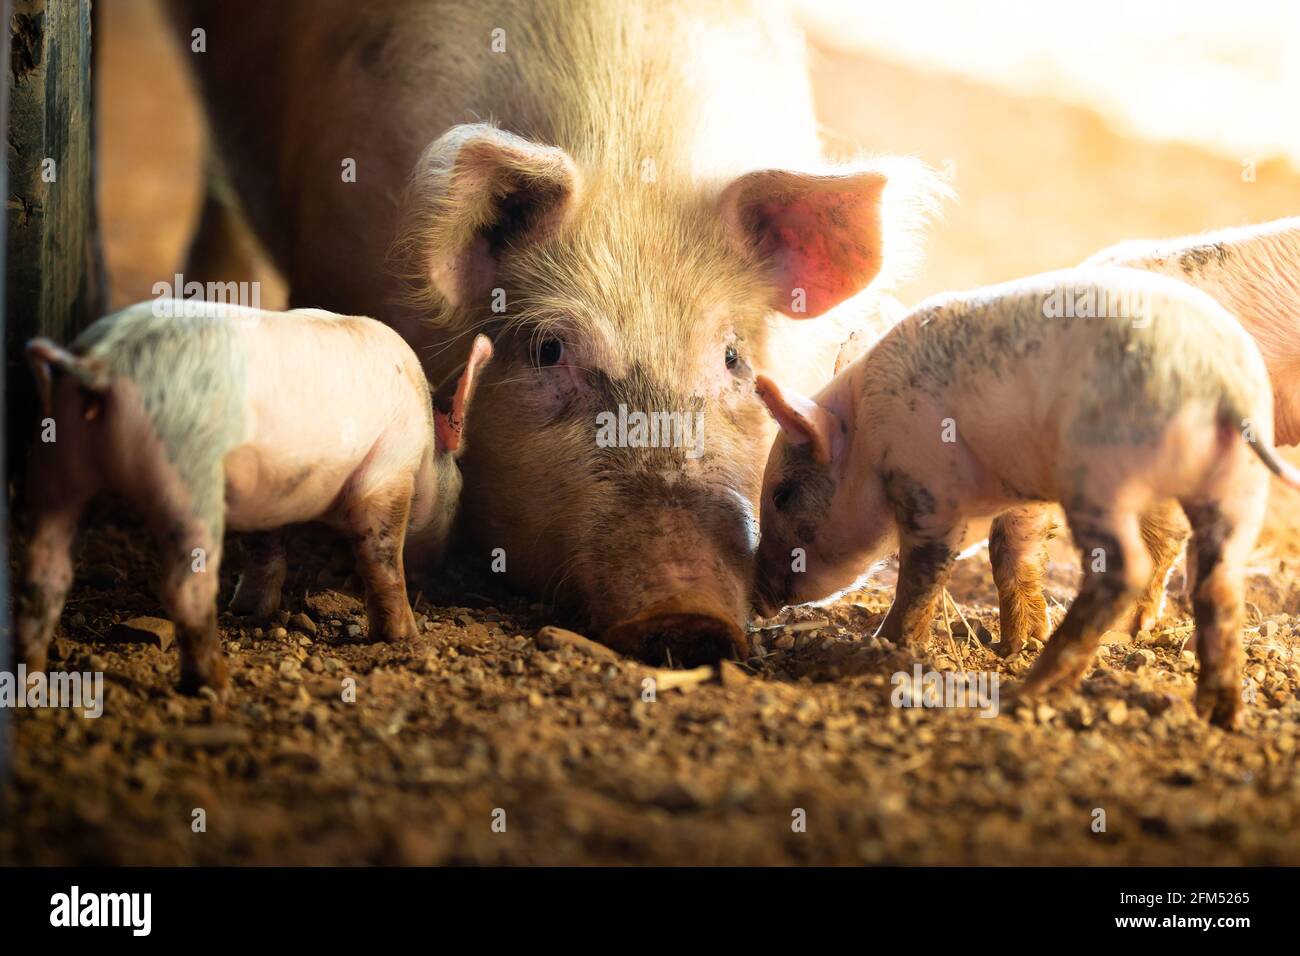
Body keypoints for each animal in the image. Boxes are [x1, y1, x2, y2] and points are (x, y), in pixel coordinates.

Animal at [14, 298, 492, 699]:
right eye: (460, 480)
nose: (450, 554)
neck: (423, 443)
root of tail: (98, 362)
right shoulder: (388, 468)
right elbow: (382, 556)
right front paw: (406, 636)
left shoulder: (271, 488)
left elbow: (265, 548)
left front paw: (249, 611)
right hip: (186, 469)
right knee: (184, 586)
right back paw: (216, 687)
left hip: (55, 452)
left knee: (44, 571)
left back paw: (30, 685)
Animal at [752, 267, 1300, 728]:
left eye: (782, 494)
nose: (756, 598)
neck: (867, 435)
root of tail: (1222, 384)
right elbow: (1010, 552)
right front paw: (1014, 642)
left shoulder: (927, 484)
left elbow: (922, 574)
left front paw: (879, 647)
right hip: (1239, 484)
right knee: (1217, 583)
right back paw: (1219, 714)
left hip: (1102, 474)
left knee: (1125, 570)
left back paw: (1030, 693)